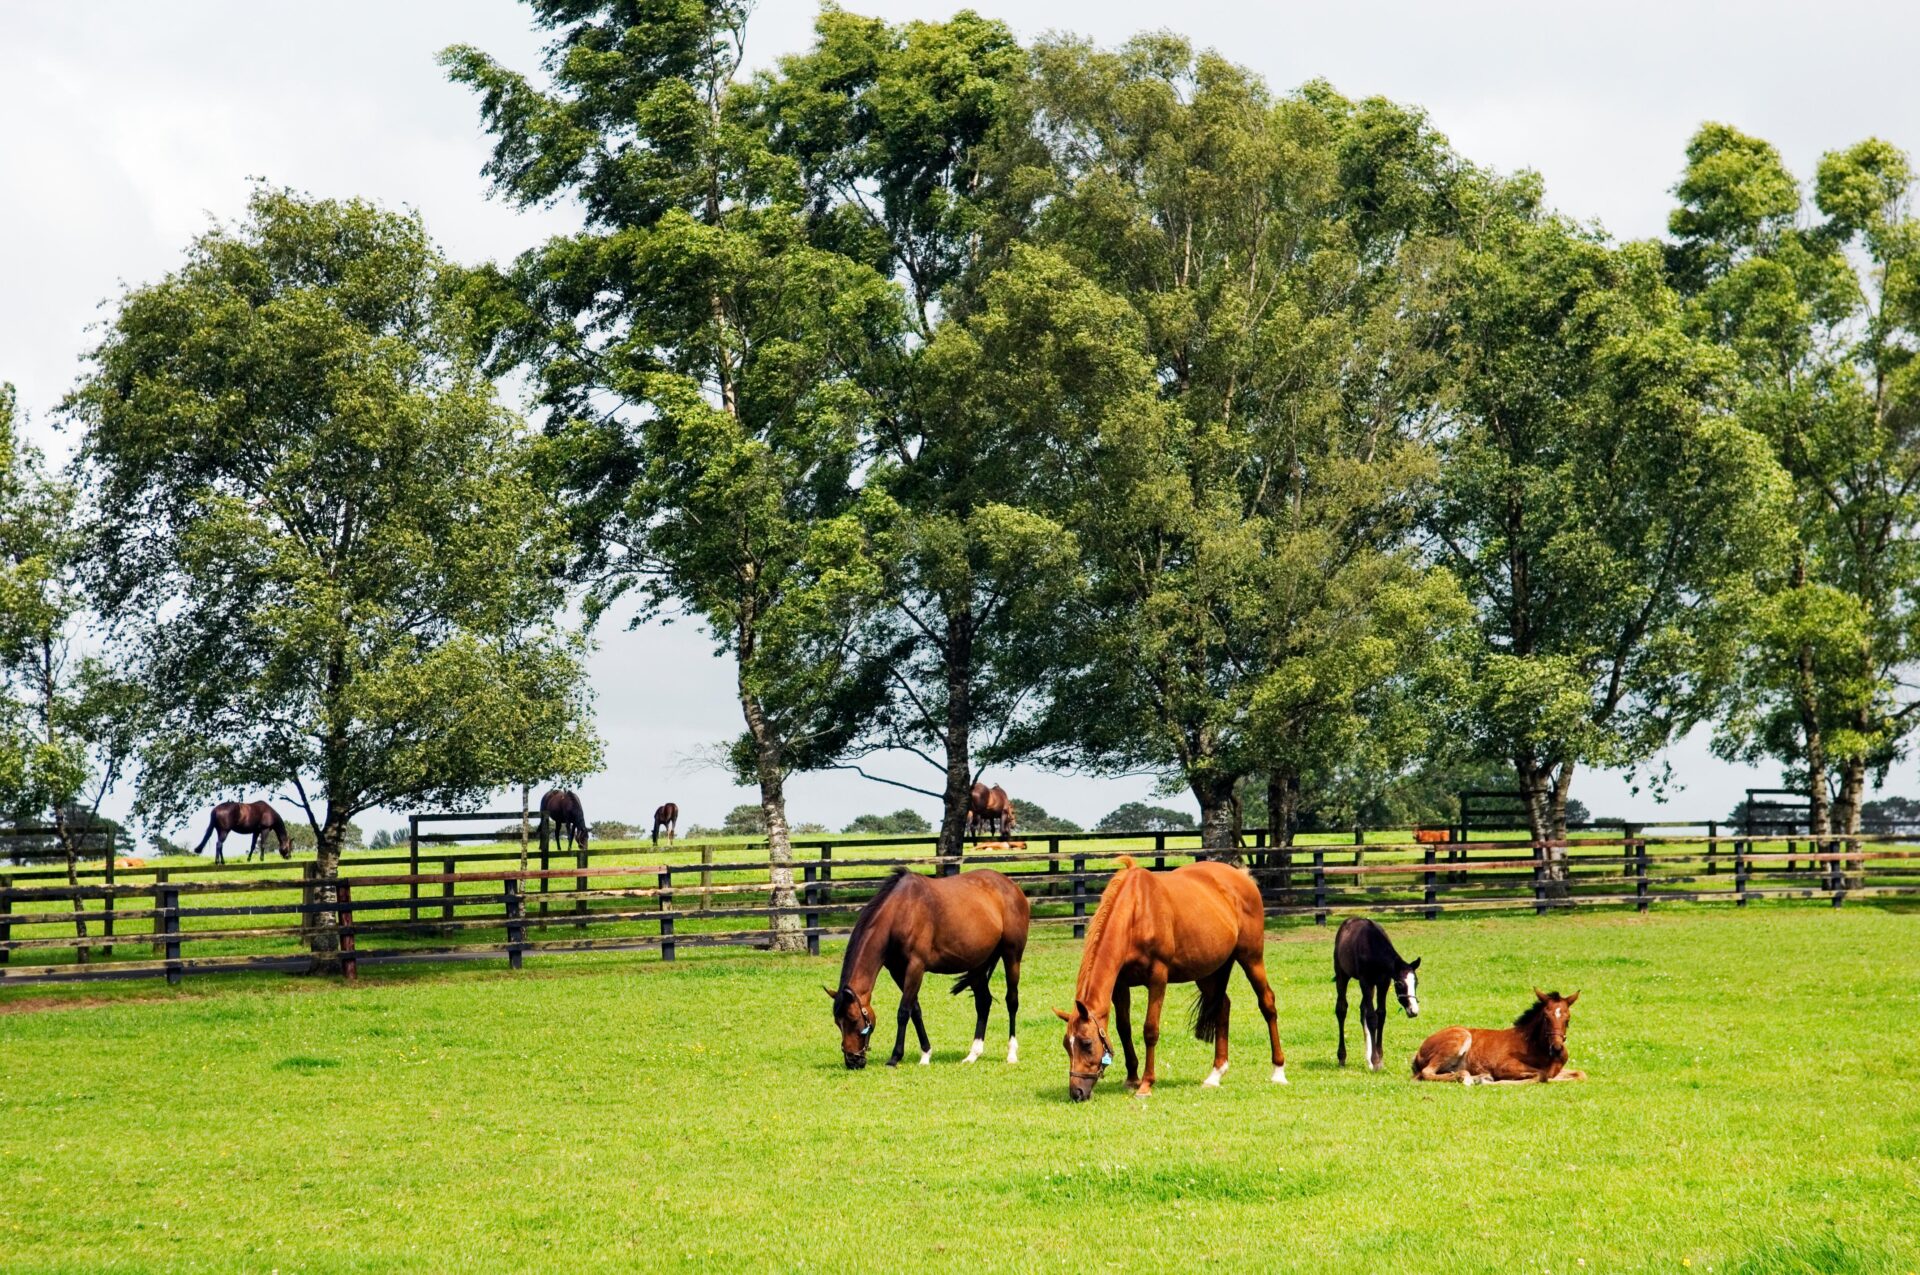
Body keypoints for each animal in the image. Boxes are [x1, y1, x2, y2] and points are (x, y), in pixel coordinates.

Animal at [824, 867, 1029, 1070]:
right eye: (837, 1022)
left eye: (853, 1019)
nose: (852, 1061)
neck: (901, 911)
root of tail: (1011, 886)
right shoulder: (897, 971)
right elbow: (915, 1010)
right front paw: (925, 1054)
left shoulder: (916, 967)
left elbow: (903, 1011)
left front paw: (895, 1057)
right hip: (977, 965)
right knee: (983, 1002)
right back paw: (973, 1054)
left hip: (1012, 956)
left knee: (1011, 1001)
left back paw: (1011, 1054)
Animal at [1055, 856, 1285, 1101]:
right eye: (1066, 1045)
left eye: (1086, 1043)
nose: (1077, 1092)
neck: (1137, 912)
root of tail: (1242, 877)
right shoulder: (1120, 984)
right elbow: (1124, 1028)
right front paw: (1132, 1078)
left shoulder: (1158, 978)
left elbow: (1150, 1030)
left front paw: (1146, 1084)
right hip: (1207, 970)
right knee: (1223, 1007)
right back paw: (1215, 1074)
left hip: (1251, 958)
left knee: (1267, 1003)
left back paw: (1278, 1071)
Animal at [1334, 917, 1422, 1071]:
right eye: (1400, 984)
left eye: (1416, 983)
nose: (1413, 1011)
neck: (1372, 945)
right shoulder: (1365, 982)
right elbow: (1372, 1017)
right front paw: (1375, 1060)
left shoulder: (1383, 982)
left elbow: (1381, 1014)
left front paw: (1378, 1059)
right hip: (1342, 975)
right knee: (1341, 1009)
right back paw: (1342, 1057)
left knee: (1362, 1010)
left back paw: (1368, 1059)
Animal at [1412, 989, 1586, 1085]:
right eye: (1546, 1017)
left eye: (1568, 1019)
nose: (1556, 1048)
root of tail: (1419, 1051)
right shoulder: (1504, 1066)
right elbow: (1541, 1075)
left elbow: (1580, 1074)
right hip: (1461, 1036)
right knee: (1427, 1072)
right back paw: (1467, 1077)